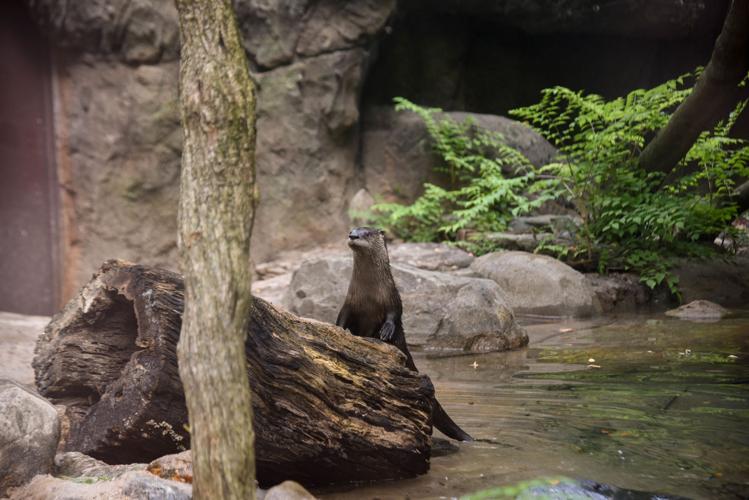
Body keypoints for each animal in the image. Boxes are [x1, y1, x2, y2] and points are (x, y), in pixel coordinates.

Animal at [336, 226, 473, 442]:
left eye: (367, 233)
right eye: (352, 230)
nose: (353, 236)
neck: (368, 293)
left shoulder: (392, 297)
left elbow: (395, 314)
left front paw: (386, 331)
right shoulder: (350, 302)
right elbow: (342, 318)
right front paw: (338, 330)